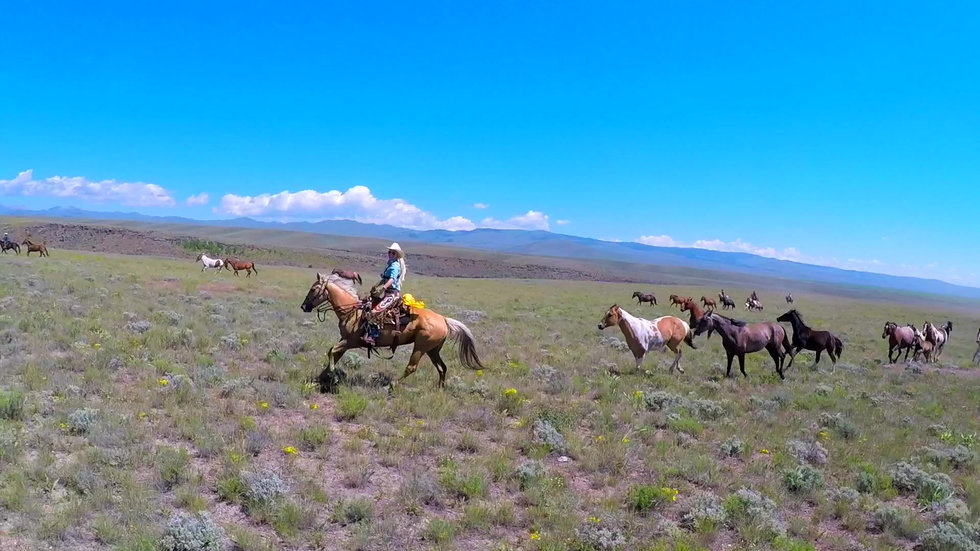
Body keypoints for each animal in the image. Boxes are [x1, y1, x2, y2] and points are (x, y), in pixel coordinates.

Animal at [300, 272, 483, 391]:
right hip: (433, 350)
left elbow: (331, 352)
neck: (352, 312)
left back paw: (391, 385)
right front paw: (320, 379)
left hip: (421, 347)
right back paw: (440, 389)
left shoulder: (350, 342)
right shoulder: (344, 341)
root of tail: (443, 319)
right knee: (442, 367)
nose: (304, 306)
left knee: (412, 367)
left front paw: (332, 376)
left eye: (313, 289)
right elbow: (334, 355)